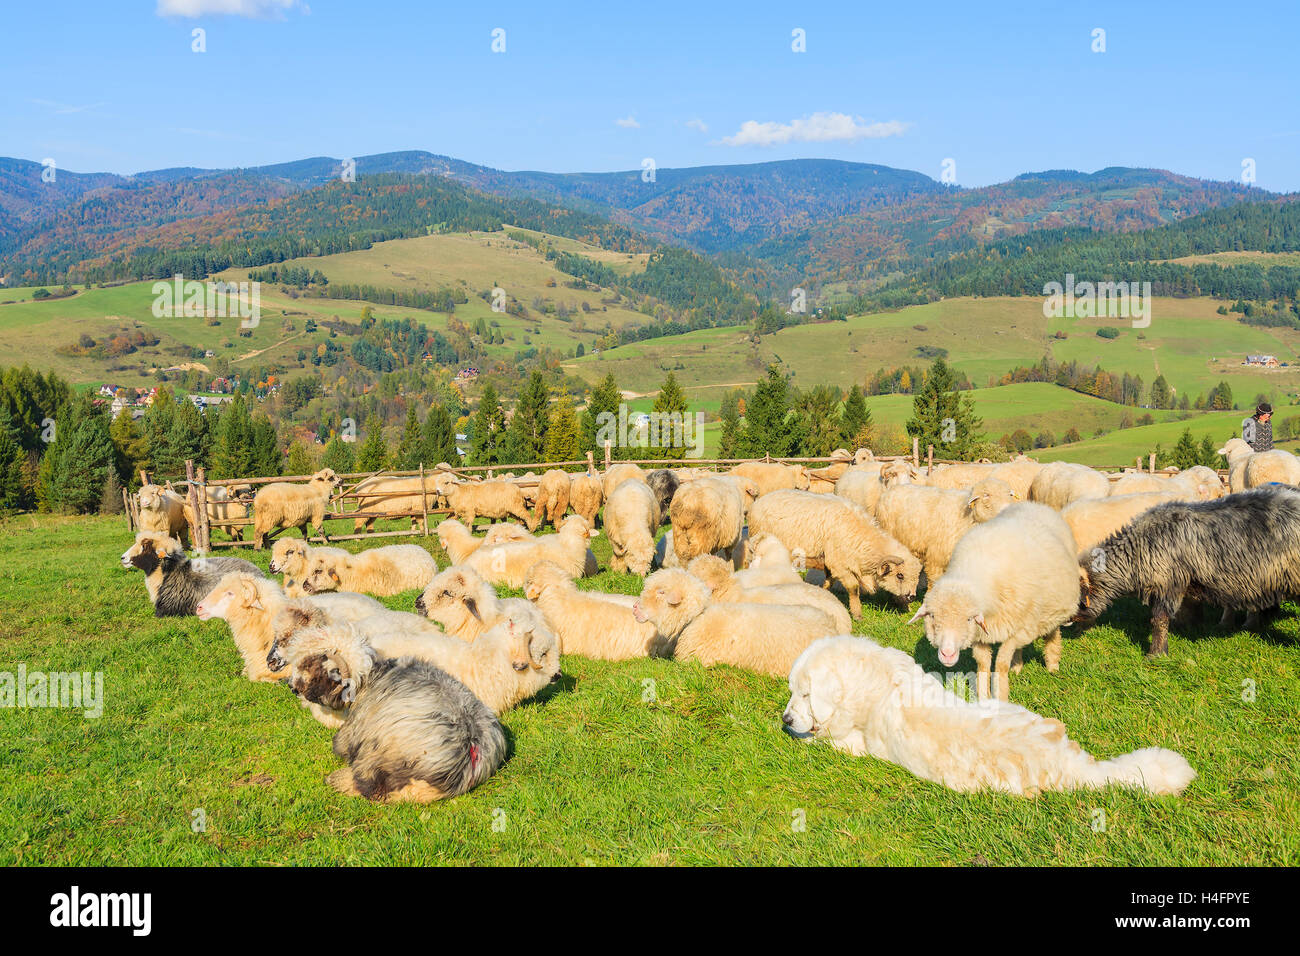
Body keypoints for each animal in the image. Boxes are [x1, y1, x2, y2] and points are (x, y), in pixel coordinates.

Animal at [747, 490, 921, 618]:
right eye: (900, 575)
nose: (912, 597)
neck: (862, 539)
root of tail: (759, 501)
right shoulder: (839, 563)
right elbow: (853, 588)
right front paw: (857, 614)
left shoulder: (831, 562)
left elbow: (829, 581)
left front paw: (823, 594)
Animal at [873, 477, 1018, 585]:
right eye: (986, 495)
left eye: (1009, 495)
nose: (1008, 508)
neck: (969, 517)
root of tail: (891, 490)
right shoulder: (937, 556)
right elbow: (934, 580)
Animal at [908, 502, 1079, 701]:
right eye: (933, 616)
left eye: (968, 619)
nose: (947, 654)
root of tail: (1034, 504)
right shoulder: (980, 635)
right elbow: (983, 664)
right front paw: (984, 696)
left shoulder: (1019, 630)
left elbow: (1001, 663)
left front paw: (1001, 696)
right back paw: (1017, 666)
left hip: (1051, 609)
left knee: (1052, 633)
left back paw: (1052, 665)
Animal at [1075, 485, 1300, 657]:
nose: (1070, 624)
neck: (1136, 551)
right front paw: (1188, 626)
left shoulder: (1167, 582)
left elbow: (1159, 619)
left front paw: (1156, 654)